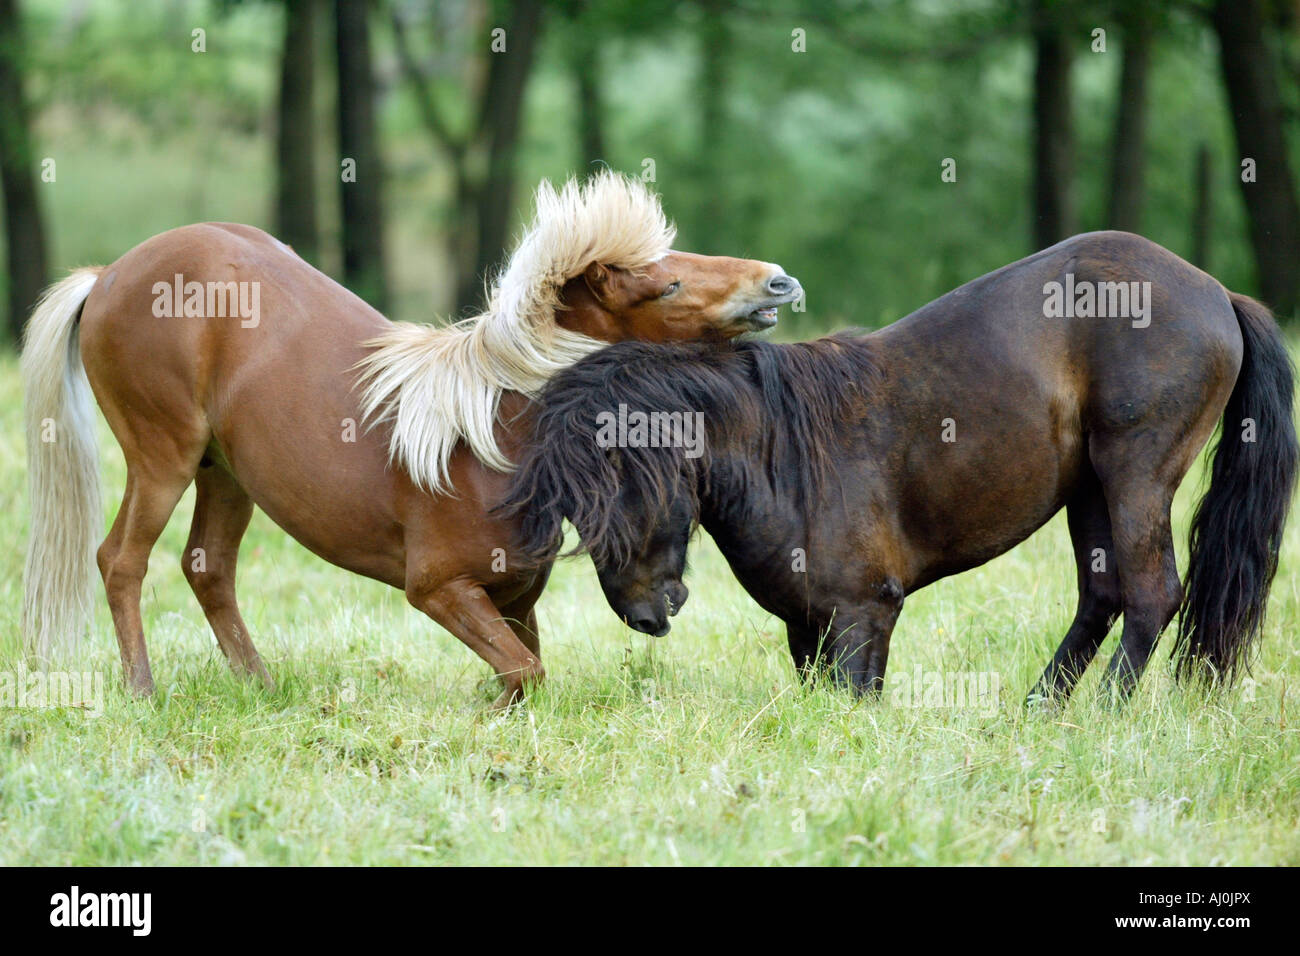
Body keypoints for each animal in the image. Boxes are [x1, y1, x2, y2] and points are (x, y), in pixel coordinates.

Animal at [22, 171, 801, 708]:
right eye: (668, 287)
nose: (780, 282)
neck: (491, 438)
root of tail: (108, 273)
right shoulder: (438, 589)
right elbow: (526, 672)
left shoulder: (515, 597)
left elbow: (527, 675)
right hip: (164, 457)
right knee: (121, 561)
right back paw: (144, 690)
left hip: (227, 472)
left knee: (208, 569)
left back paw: (262, 689)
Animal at [503, 231, 1298, 702]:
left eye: (622, 496)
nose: (644, 615)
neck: (782, 450)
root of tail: (1215, 292)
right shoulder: (808, 630)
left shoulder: (864, 617)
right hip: (1092, 489)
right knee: (1102, 596)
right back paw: (1040, 710)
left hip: (1136, 476)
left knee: (1152, 596)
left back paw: (1103, 712)